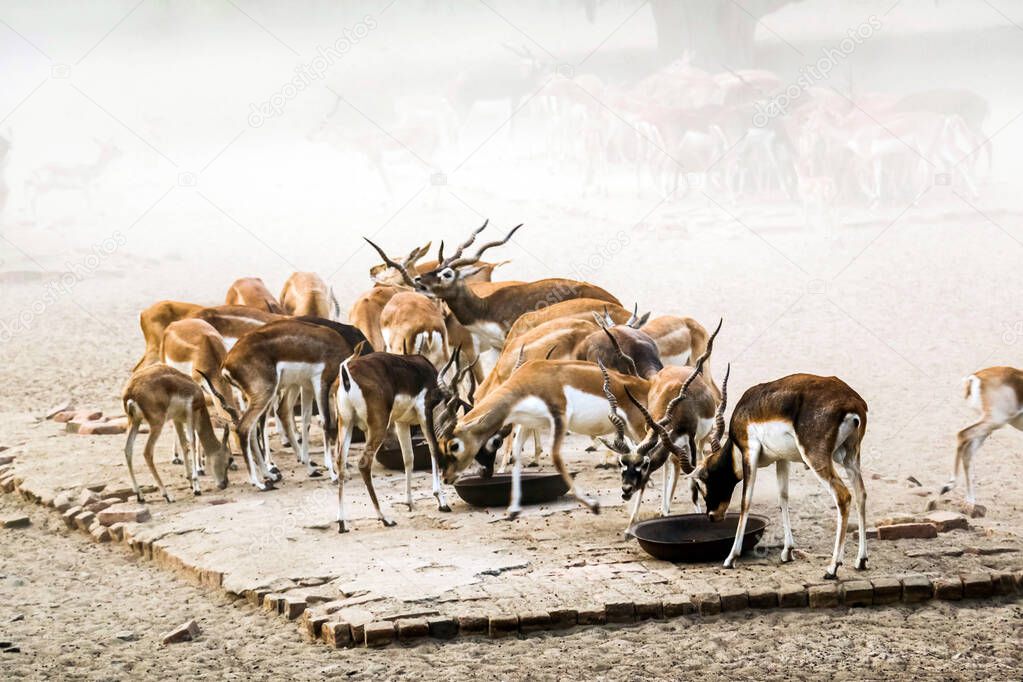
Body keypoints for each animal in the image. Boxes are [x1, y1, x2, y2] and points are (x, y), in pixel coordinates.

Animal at [122, 364, 231, 503]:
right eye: (230, 459)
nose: (224, 484)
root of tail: (131, 391)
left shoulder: (176, 419)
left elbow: (184, 445)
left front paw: (190, 482)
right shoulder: (191, 412)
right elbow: (192, 442)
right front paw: (197, 487)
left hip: (134, 421)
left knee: (128, 450)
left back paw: (140, 495)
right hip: (157, 424)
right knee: (147, 452)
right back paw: (167, 495)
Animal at [333, 349, 475, 532]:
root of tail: (346, 374)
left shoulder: (402, 422)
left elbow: (408, 458)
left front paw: (409, 502)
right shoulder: (424, 412)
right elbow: (433, 449)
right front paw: (441, 502)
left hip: (346, 424)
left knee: (340, 463)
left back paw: (342, 523)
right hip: (378, 425)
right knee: (364, 464)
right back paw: (385, 519)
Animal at [436, 359, 650, 518]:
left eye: (454, 445)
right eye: (440, 444)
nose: (446, 477)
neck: (529, 380)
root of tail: (645, 385)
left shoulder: (559, 418)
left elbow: (556, 458)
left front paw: (593, 505)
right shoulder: (527, 423)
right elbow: (517, 458)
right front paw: (513, 510)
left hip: (638, 427)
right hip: (629, 431)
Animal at [690, 373, 869, 580]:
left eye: (703, 481)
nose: (712, 516)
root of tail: (853, 402)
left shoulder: (750, 452)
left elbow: (745, 502)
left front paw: (731, 558)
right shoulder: (782, 459)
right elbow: (783, 497)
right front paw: (788, 552)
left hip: (816, 458)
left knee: (843, 496)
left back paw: (832, 568)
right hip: (850, 458)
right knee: (861, 495)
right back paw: (861, 560)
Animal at [940, 366, 1023, 509]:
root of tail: (976, 376)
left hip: (987, 427)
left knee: (967, 452)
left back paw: (969, 501)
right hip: (995, 421)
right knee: (962, 434)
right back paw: (950, 485)